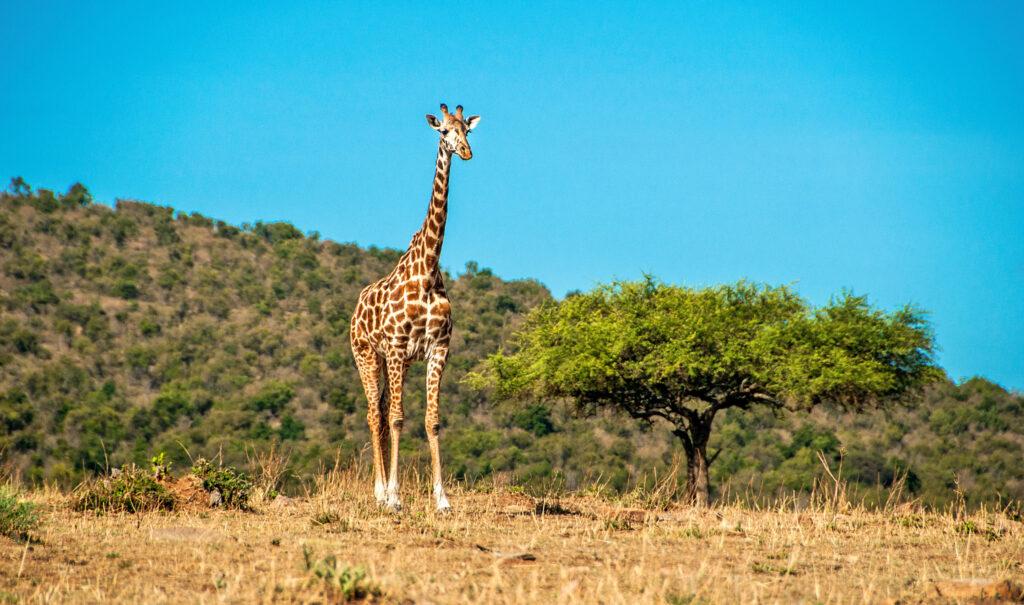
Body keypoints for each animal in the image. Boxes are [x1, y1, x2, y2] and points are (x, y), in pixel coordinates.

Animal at [349, 103, 481, 512]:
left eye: (466, 129)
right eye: (444, 132)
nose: (466, 152)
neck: (427, 271)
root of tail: (356, 309)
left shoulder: (437, 348)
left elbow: (431, 420)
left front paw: (442, 499)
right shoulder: (395, 348)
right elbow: (397, 419)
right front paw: (394, 496)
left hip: (400, 363)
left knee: (382, 410)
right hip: (367, 355)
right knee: (375, 413)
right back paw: (378, 492)